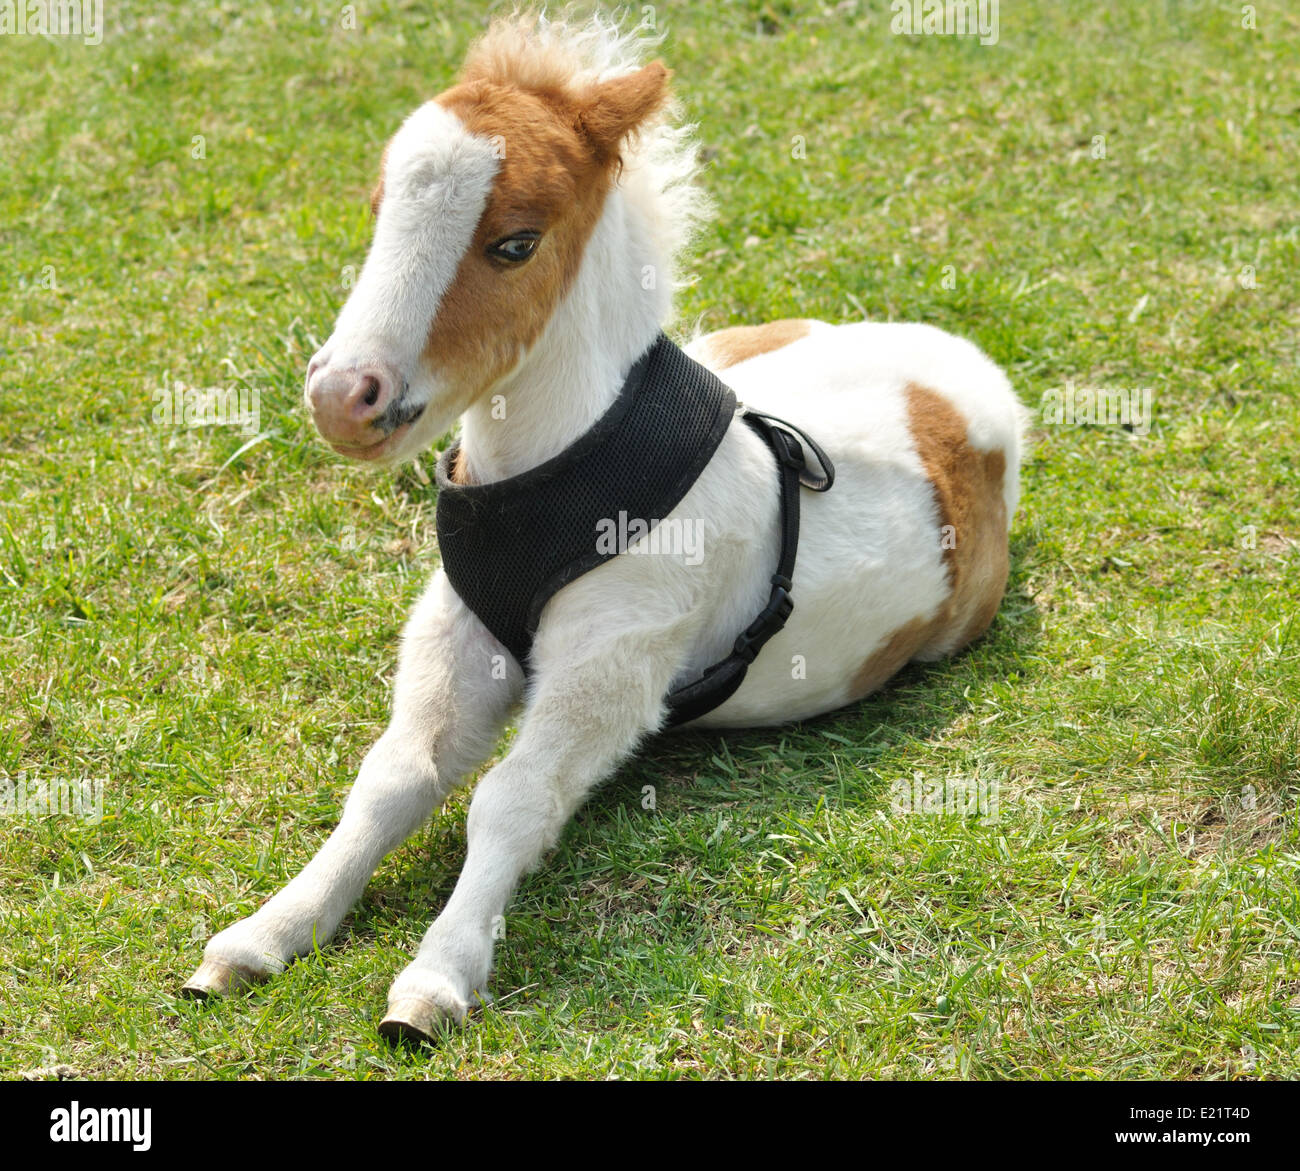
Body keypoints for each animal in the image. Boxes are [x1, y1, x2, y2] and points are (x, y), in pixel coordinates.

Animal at [183, 13, 1027, 1043]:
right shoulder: (457, 632)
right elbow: (391, 779)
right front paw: (264, 933)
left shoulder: (613, 662)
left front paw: (434, 981)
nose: (343, 398)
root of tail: (965, 373)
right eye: (378, 208)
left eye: (514, 242)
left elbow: (510, 799)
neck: (552, 479)